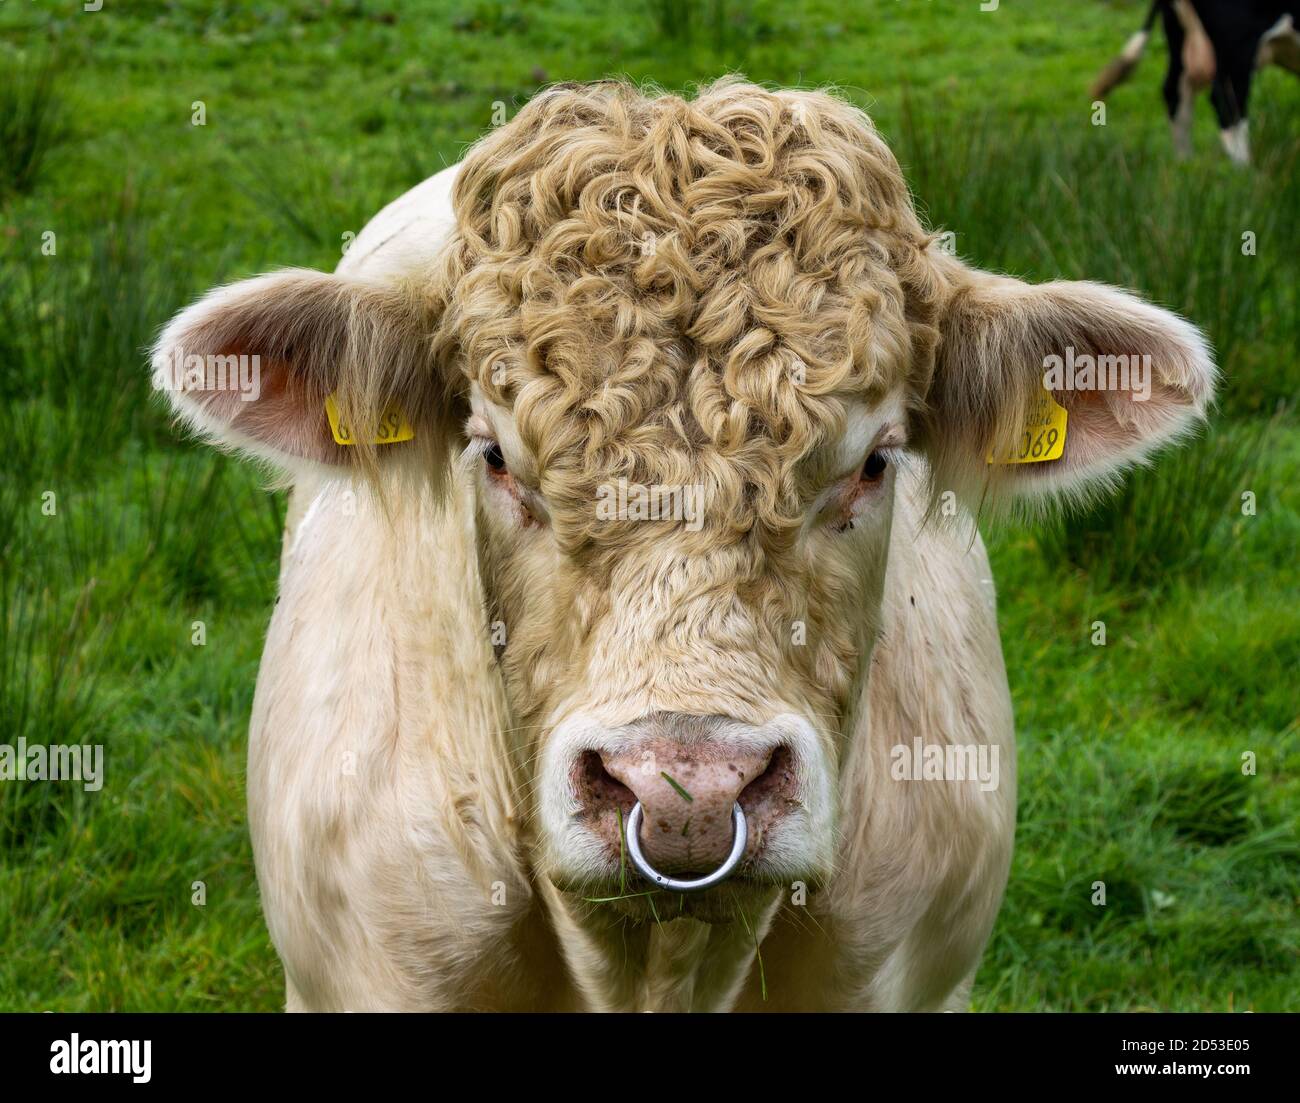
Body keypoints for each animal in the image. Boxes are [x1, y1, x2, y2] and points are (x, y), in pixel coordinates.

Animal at [1091, 0, 1300, 164]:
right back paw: (1245, 179)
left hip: (1179, 36)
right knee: (1227, 106)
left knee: (1174, 93)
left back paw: (1185, 168)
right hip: (1237, 43)